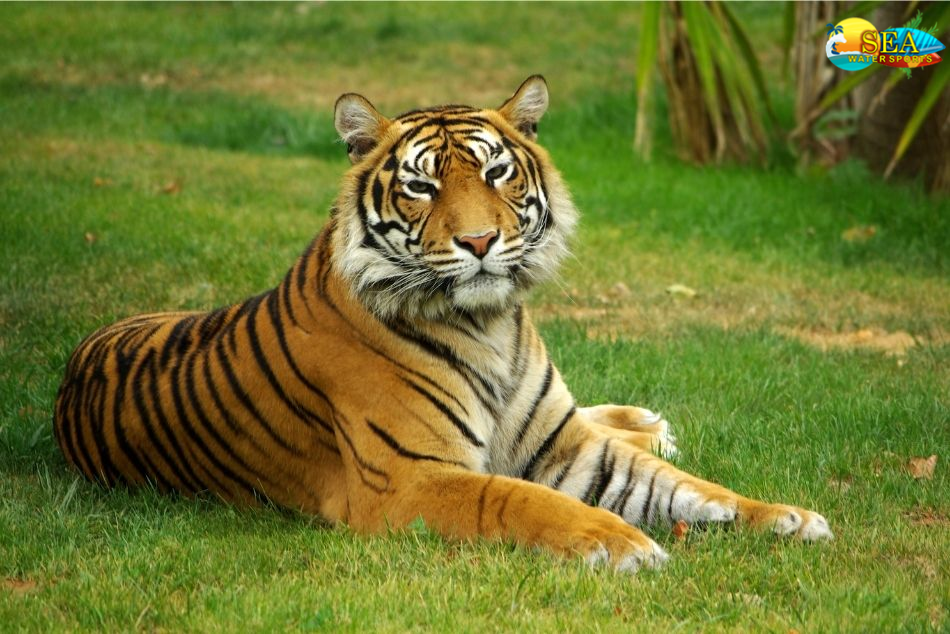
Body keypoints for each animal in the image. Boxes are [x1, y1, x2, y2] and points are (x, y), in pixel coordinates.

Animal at [53, 76, 832, 574]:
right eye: (422, 185)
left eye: (495, 174)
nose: (480, 241)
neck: (491, 325)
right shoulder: (412, 479)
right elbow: (519, 498)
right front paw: (623, 544)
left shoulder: (570, 446)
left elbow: (689, 488)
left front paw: (784, 517)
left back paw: (646, 421)